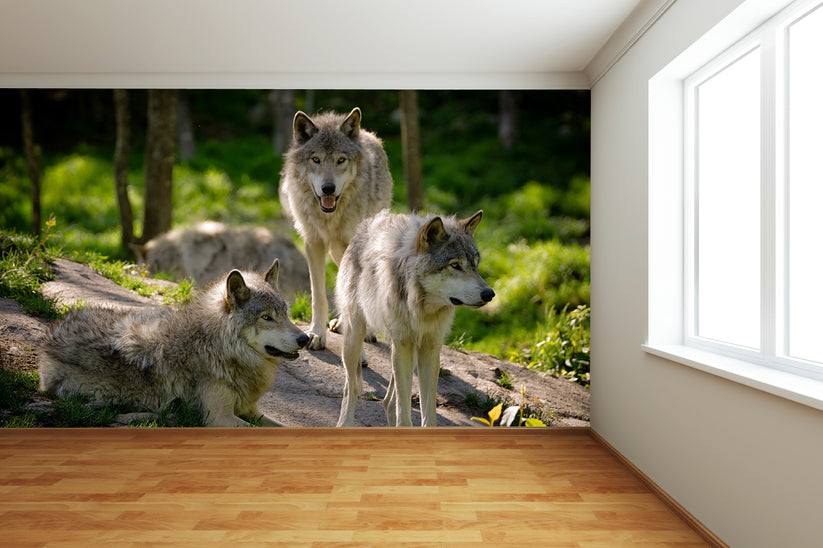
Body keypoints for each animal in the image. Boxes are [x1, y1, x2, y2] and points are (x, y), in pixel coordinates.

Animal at [38, 260, 309, 427]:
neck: (217, 346)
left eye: (285, 313)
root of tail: (50, 334)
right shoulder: (219, 418)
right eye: (266, 318)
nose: (305, 339)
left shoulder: (251, 411)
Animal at [278, 107, 393, 351]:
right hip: (335, 250)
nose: (328, 188)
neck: (330, 217)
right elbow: (318, 295)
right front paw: (316, 334)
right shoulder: (313, 242)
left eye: (341, 160)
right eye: (316, 159)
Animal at [335, 209, 495, 427]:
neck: (421, 308)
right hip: (356, 338)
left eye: (475, 266)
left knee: (387, 402)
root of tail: (364, 226)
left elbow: (428, 411)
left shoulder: (430, 348)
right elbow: (404, 413)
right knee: (351, 388)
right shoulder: (404, 345)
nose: (489, 294)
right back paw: (344, 424)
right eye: (455, 265)